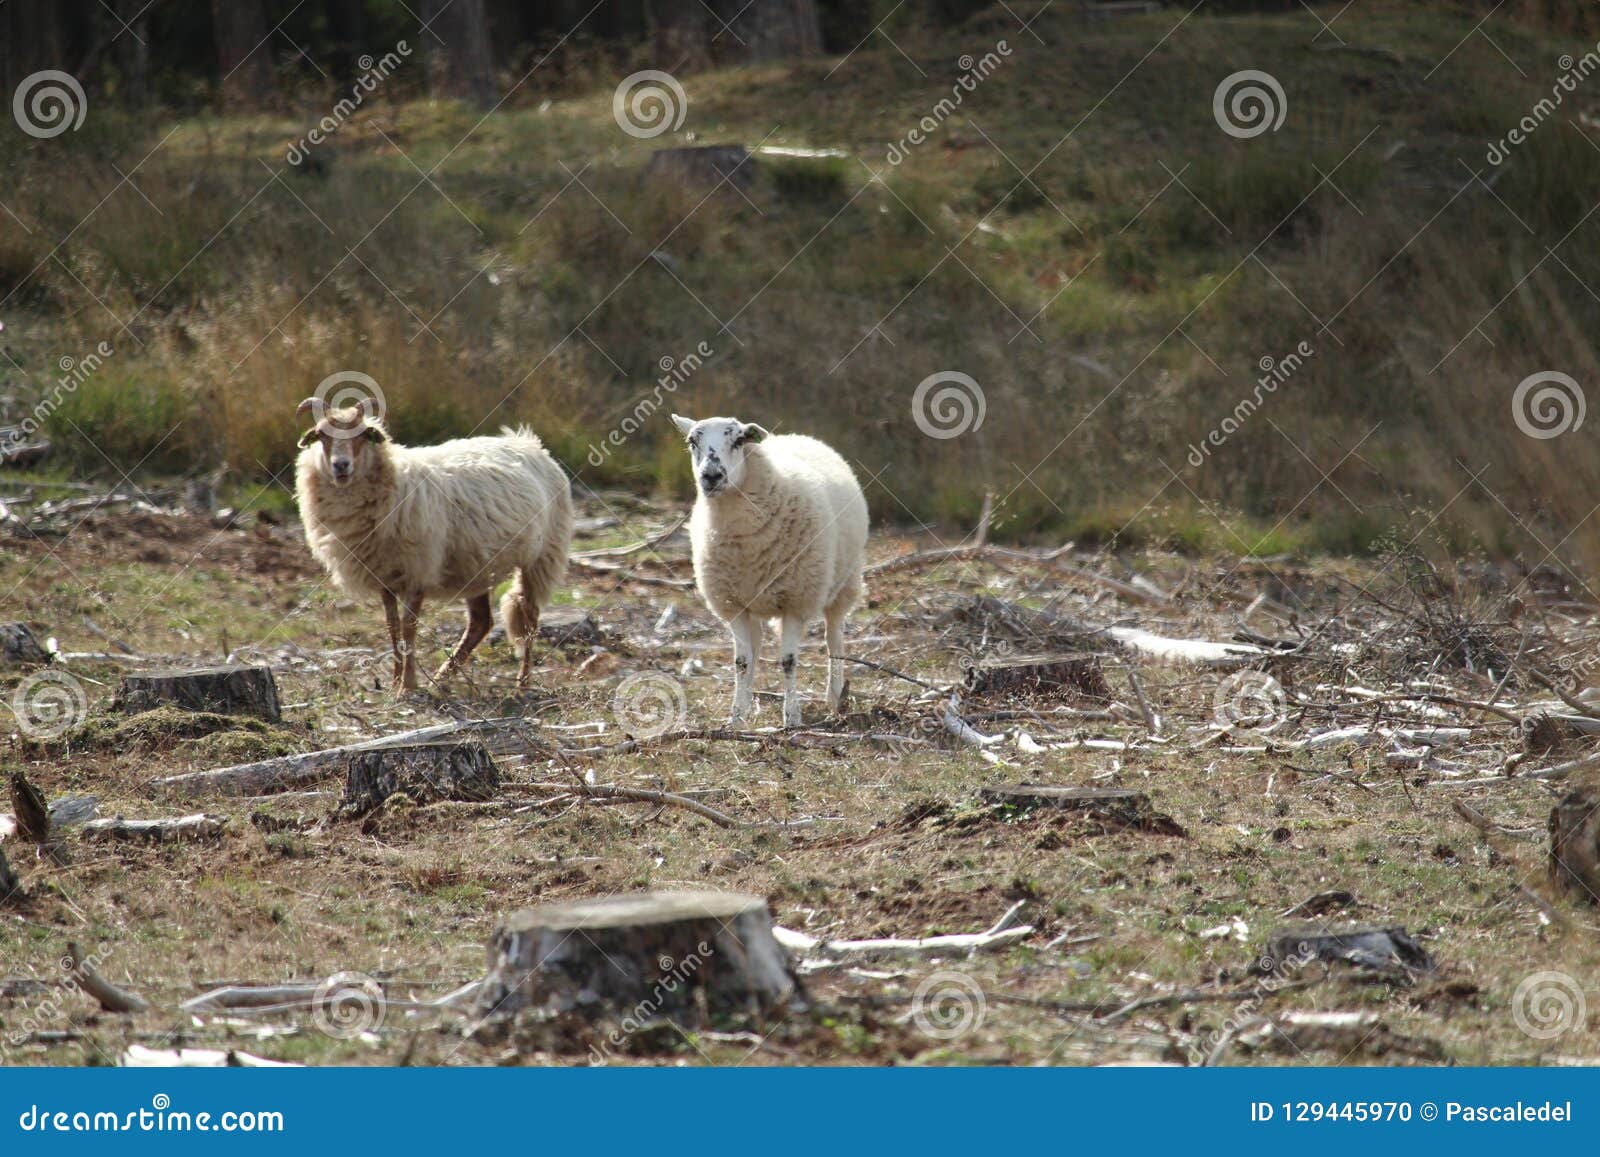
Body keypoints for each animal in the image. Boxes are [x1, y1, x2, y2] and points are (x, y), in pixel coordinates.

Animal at [294, 398, 573, 692]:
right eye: (322, 435)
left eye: (363, 435)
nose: (341, 465)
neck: (396, 482)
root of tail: (531, 444)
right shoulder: (384, 575)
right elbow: (391, 625)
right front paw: (396, 681)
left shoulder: (419, 569)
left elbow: (409, 626)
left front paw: (407, 684)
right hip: (478, 566)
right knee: (481, 622)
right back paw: (442, 676)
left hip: (543, 556)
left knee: (529, 616)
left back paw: (522, 681)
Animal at [671, 414, 868, 727]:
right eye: (692, 442)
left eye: (739, 440)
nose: (711, 476)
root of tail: (797, 436)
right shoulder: (734, 604)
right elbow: (742, 662)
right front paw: (736, 718)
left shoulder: (796, 601)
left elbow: (788, 661)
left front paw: (792, 717)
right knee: (756, 649)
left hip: (845, 581)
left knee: (834, 640)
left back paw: (835, 696)